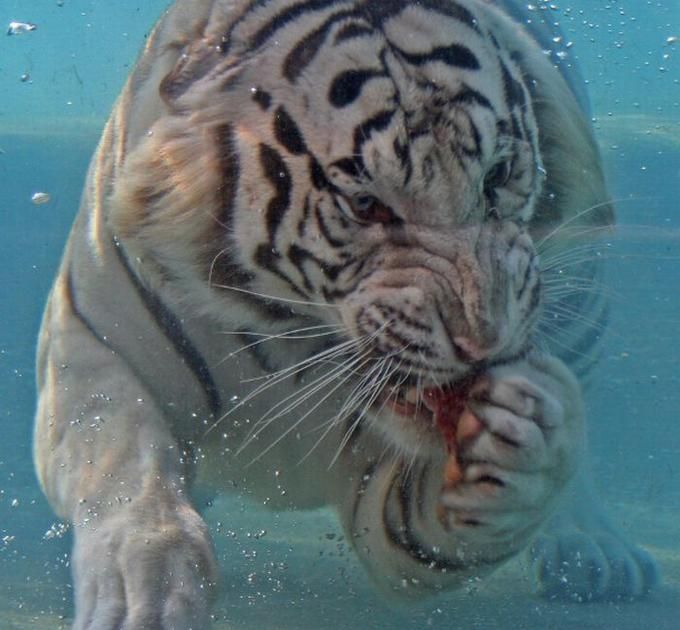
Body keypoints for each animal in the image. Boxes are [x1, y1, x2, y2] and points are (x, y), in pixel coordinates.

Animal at [34, 0, 657, 627]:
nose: (484, 343)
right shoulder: (88, 345)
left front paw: (526, 444)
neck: (286, 332)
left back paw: (594, 550)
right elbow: (122, 465)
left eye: (496, 177)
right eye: (366, 204)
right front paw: (144, 596)